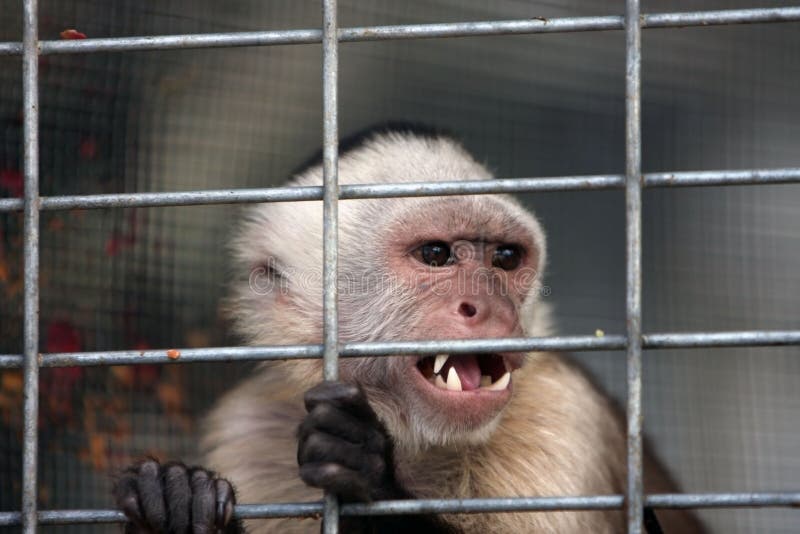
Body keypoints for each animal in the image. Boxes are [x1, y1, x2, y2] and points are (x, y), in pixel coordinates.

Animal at [113, 126, 703, 533]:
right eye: (436, 254)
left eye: (506, 258)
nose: (490, 307)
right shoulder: (252, 432)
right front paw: (177, 506)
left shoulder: (563, 421)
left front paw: (367, 479)